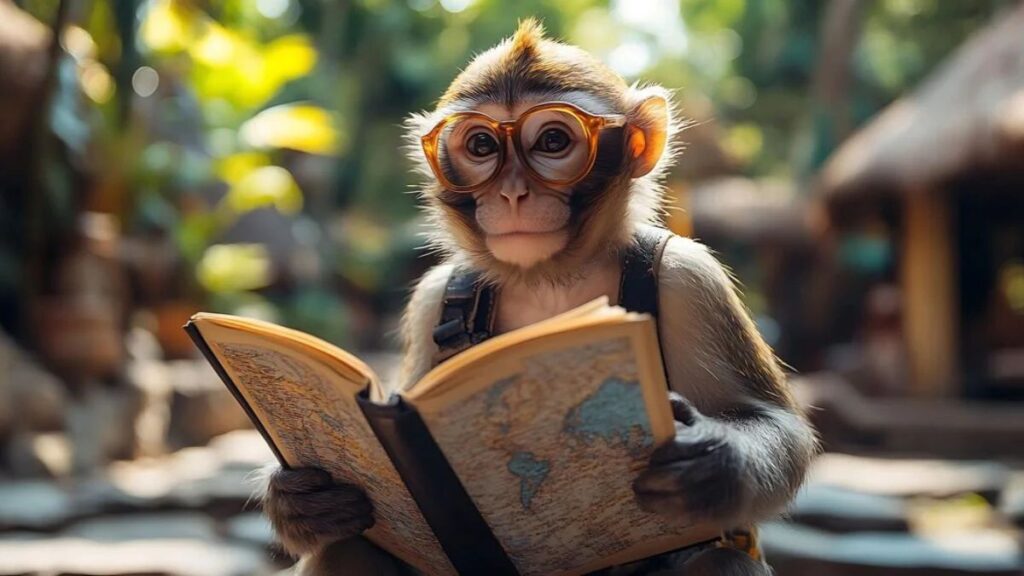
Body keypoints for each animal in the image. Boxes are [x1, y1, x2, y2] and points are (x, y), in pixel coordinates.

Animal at [260, 19, 817, 576]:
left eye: (552, 140)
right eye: (481, 146)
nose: (511, 194)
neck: (551, 279)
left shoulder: (691, 280)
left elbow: (776, 424)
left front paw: (710, 463)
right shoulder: (433, 297)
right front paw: (298, 502)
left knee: (720, 562)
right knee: (349, 547)